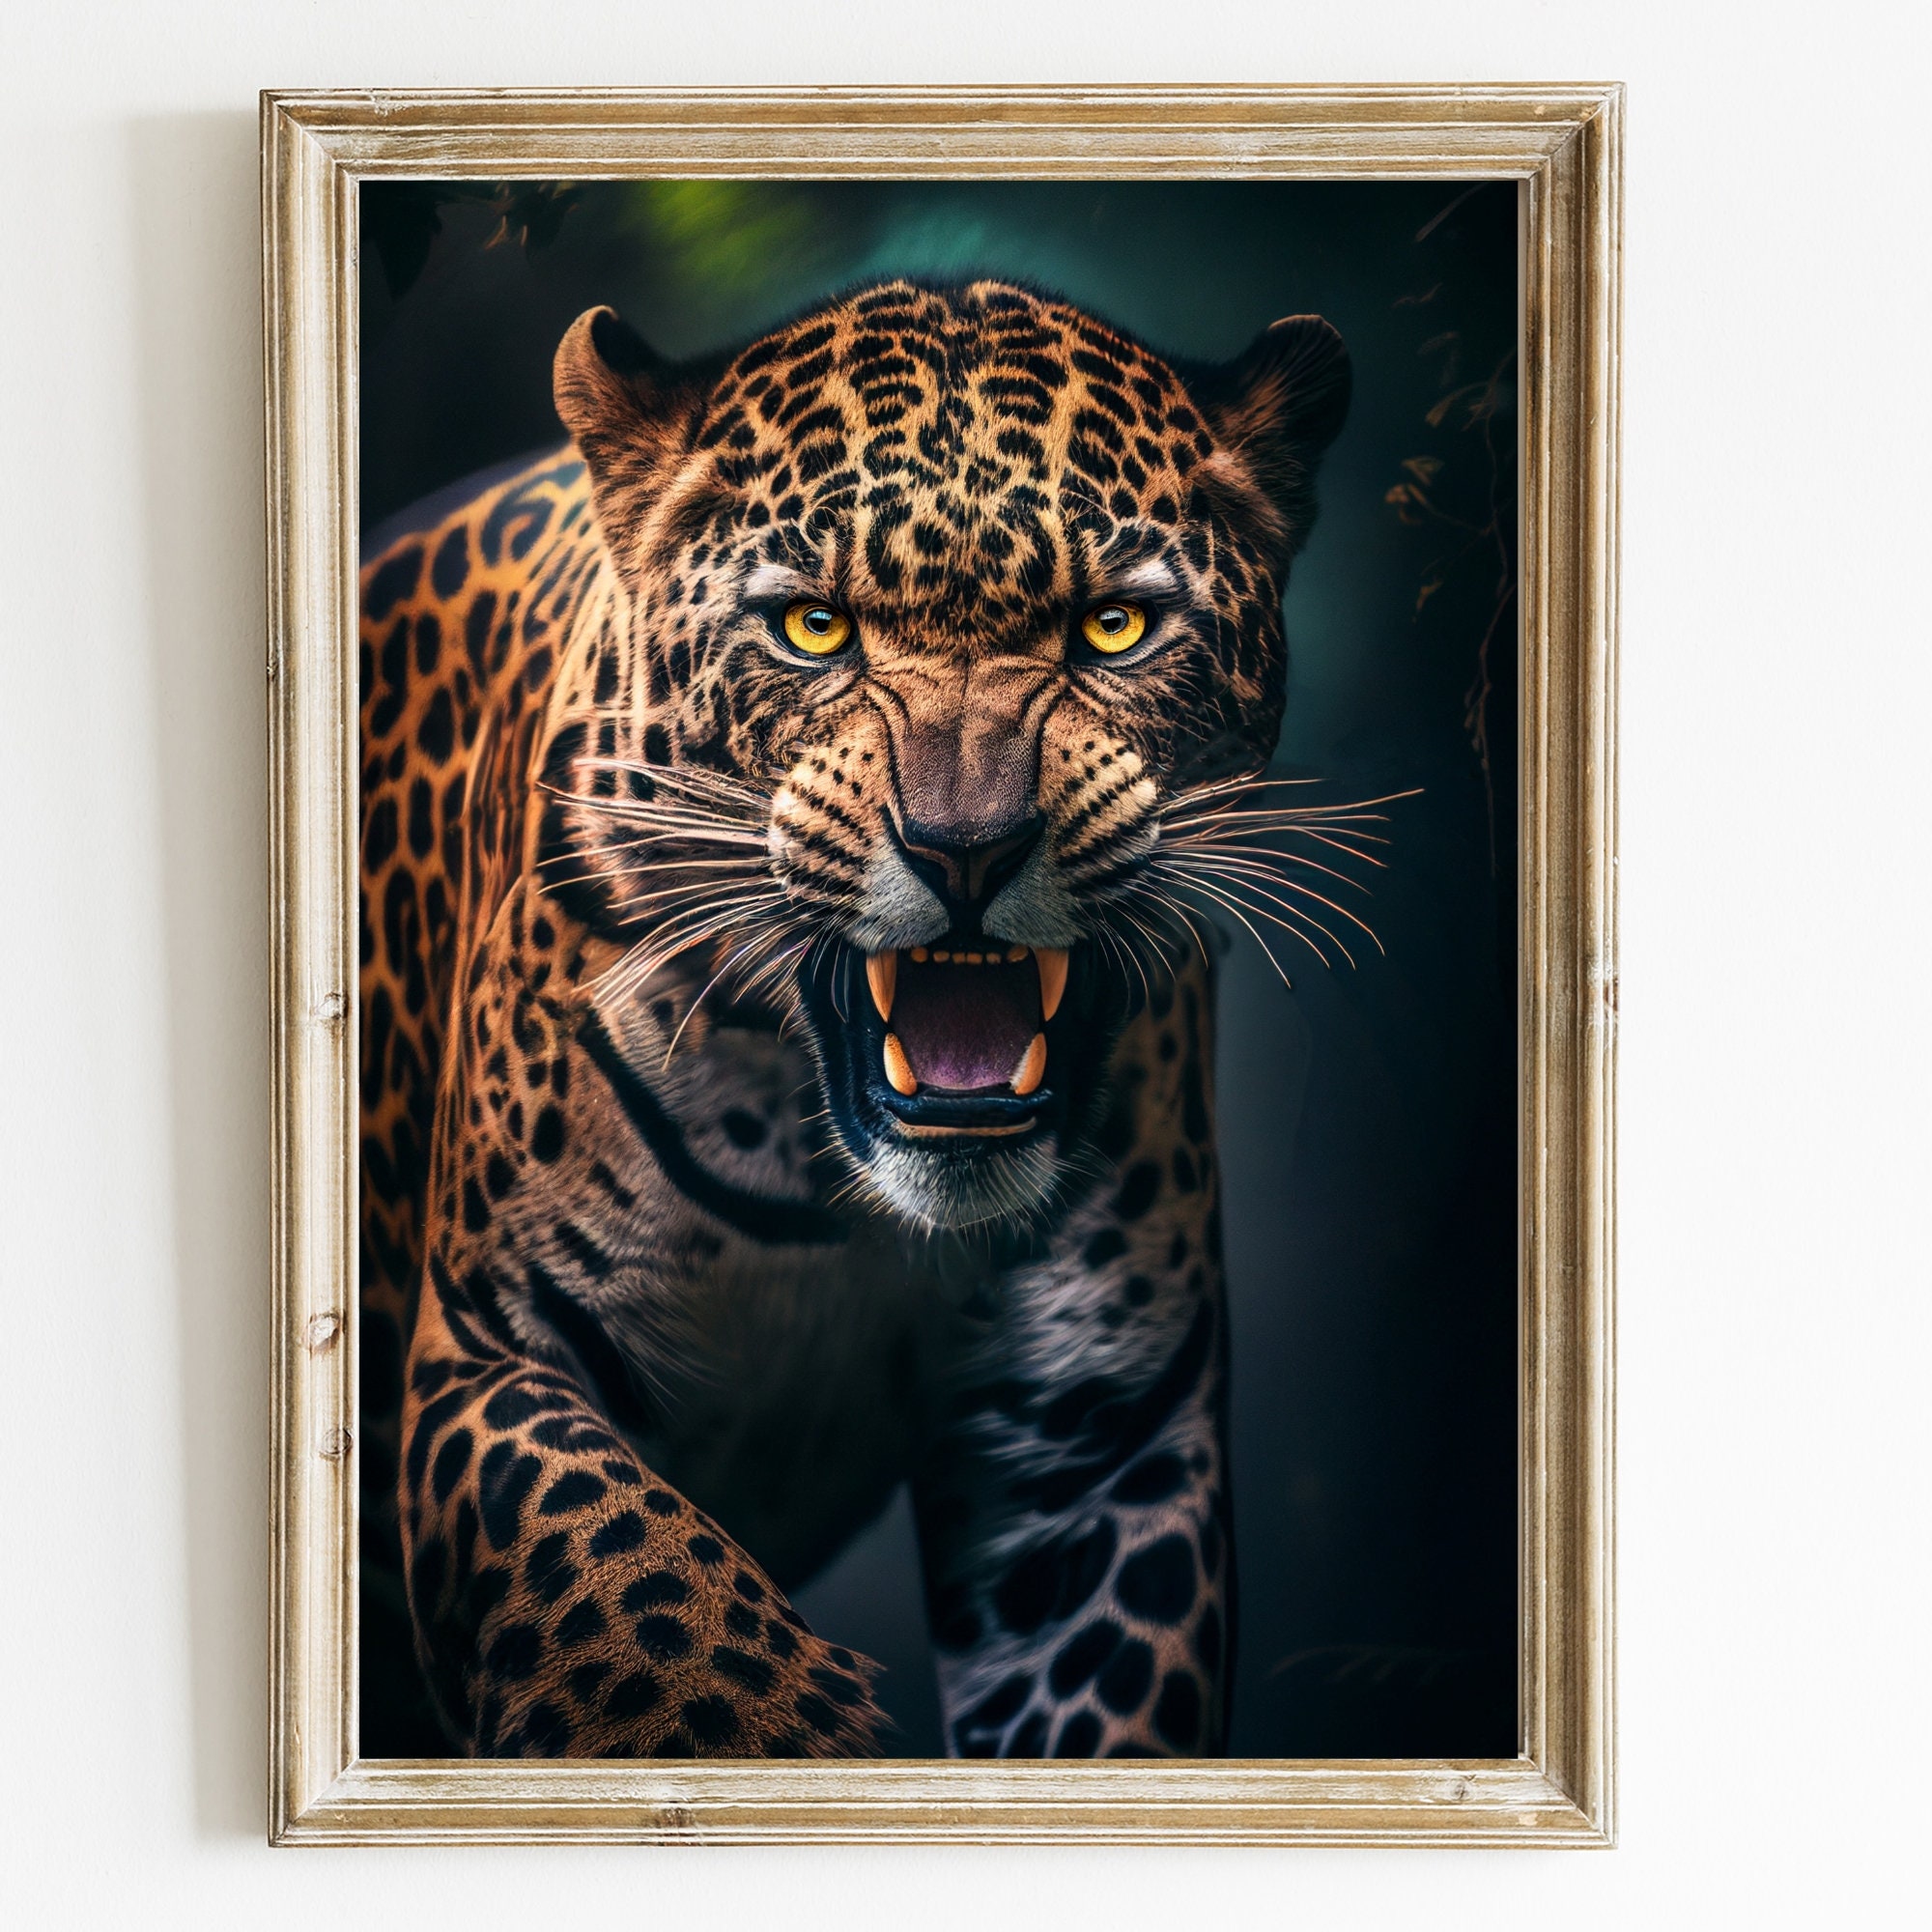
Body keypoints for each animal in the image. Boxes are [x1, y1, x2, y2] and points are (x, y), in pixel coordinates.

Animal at [356, 275, 1351, 1759]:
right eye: (813, 627)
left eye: (1115, 627)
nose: (967, 847)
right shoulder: (489, 1346)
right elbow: (624, 1567)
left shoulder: (1100, 1440)